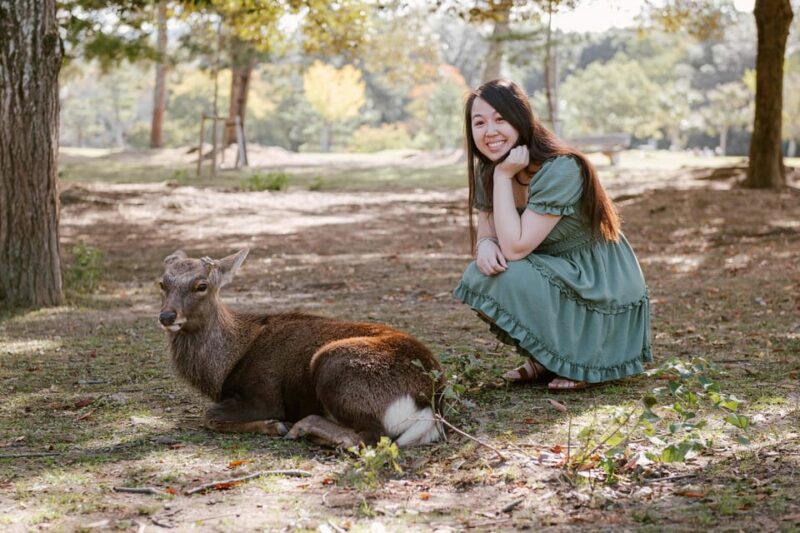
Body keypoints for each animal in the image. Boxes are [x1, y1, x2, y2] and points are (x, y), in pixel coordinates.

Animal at [157, 249, 444, 448]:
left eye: (201, 285)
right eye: (162, 283)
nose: (167, 316)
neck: (224, 369)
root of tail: (429, 402)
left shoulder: (265, 394)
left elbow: (209, 415)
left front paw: (276, 426)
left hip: (335, 366)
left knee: (371, 437)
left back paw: (302, 428)